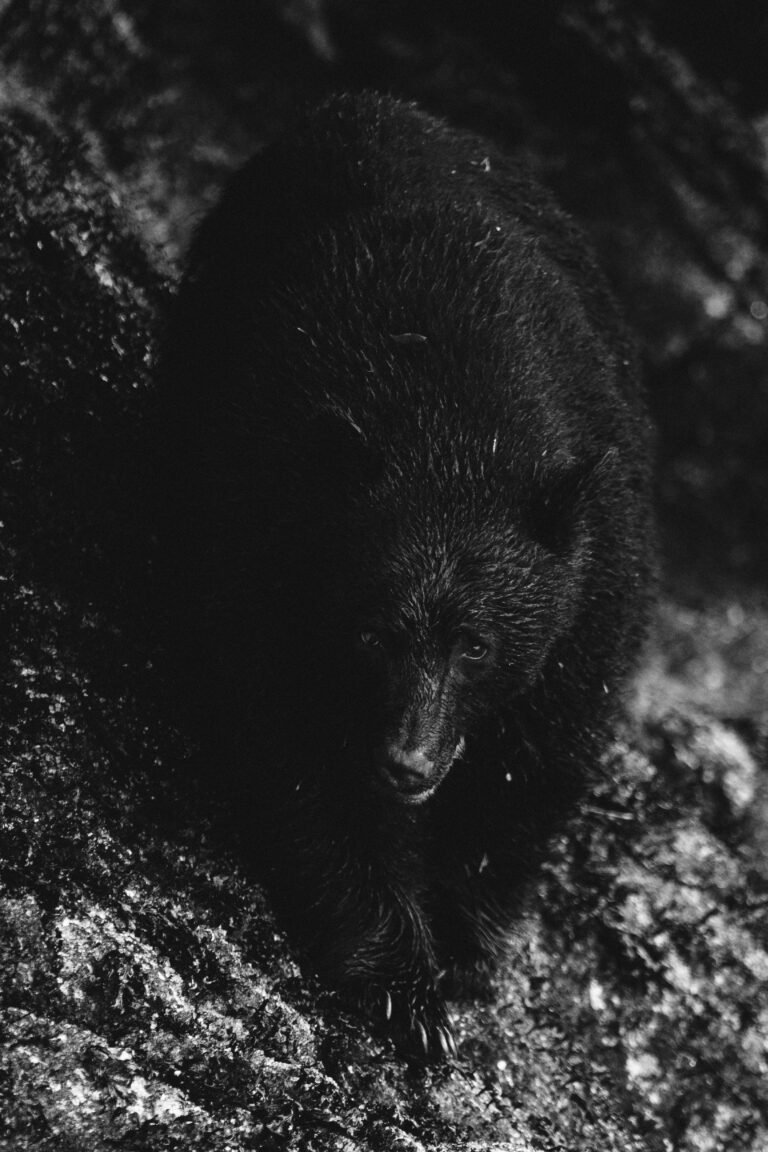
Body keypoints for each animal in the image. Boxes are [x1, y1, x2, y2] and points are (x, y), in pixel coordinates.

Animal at [159, 91, 655, 1059]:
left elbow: (540, 753)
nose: (409, 760)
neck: (451, 427)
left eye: (476, 646)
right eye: (370, 633)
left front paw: (462, 942)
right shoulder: (266, 536)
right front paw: (406, 988)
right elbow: (299, 751)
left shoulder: (598, 575)